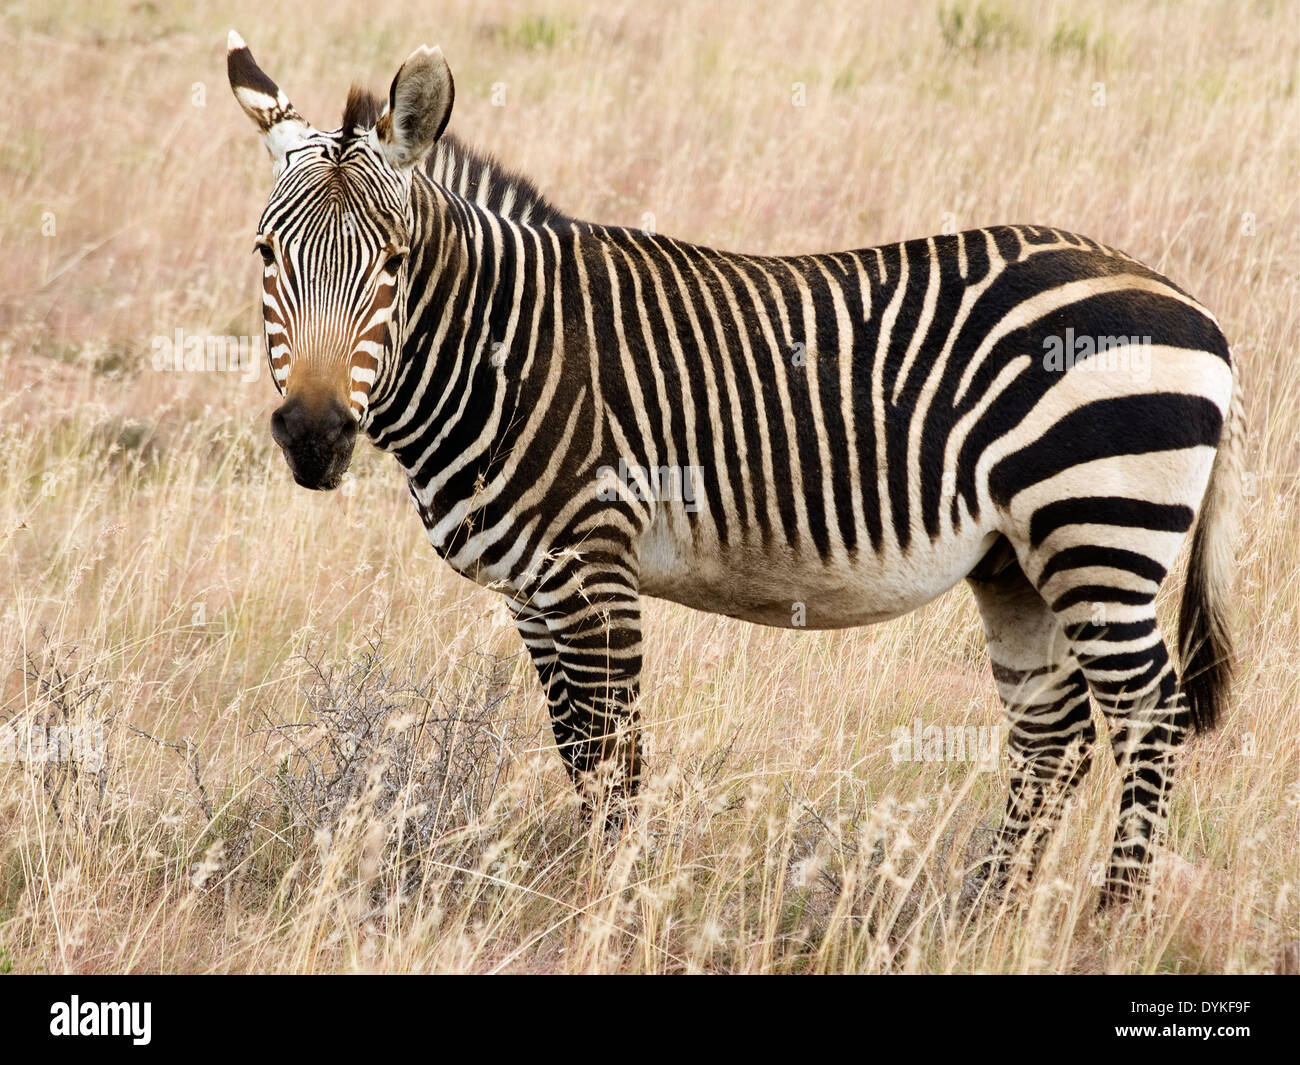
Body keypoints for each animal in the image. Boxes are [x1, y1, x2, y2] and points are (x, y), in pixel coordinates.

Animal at [227, 34, 1242, 906]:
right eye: (267, 254)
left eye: (392, 263)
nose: (313, 435)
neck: (501, 351)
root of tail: (1189, 305)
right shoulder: (531, 587)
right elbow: (576, 749)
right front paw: (605, 891)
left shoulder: (592, 569)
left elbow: (611, 756)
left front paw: (612, 904)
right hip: (1018, 560)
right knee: (1052, 730)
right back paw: (985, 912)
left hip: (1098, 530)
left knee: (1147, 715)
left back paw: (1114, 913)